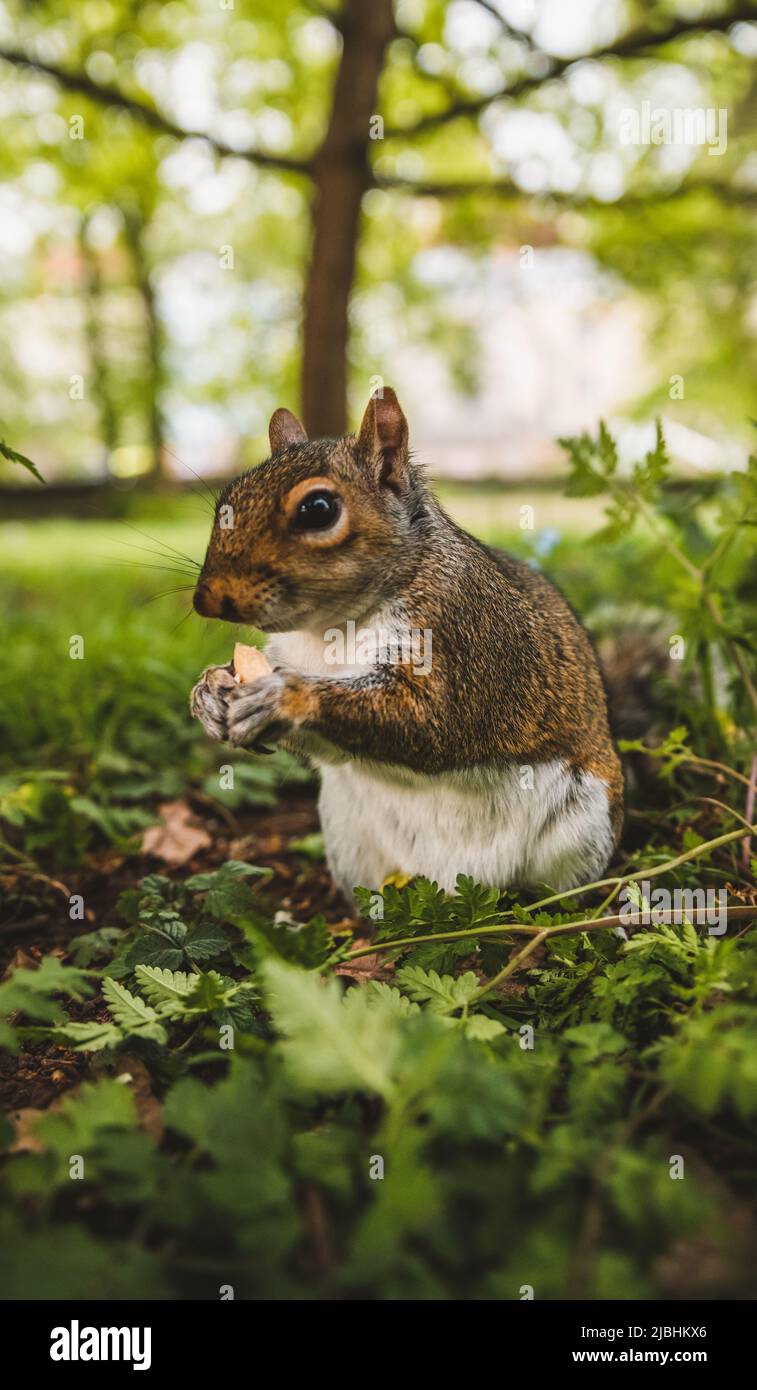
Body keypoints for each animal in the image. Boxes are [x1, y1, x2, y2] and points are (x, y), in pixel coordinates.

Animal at [190, 388, 623, 901]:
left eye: (318, 509)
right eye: (227, 500)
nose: (206, 599)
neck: (330, 631)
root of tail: (455, 885)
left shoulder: (462, 636)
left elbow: (434, 721)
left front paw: (285, 697)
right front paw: (208, 692)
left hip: (586, 822)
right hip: (347, 837)